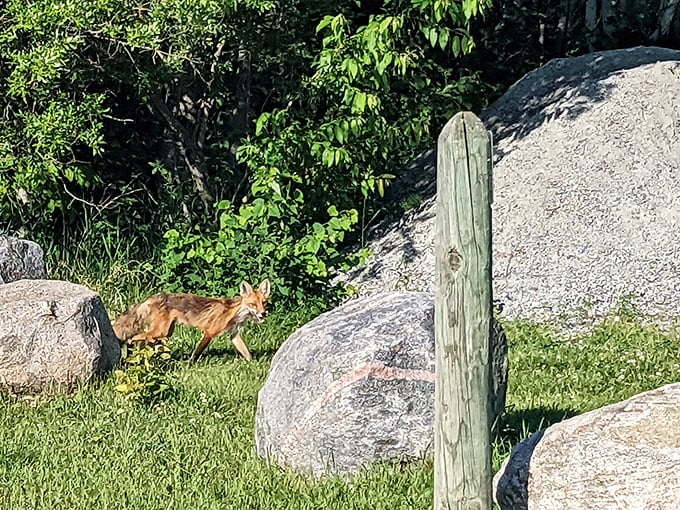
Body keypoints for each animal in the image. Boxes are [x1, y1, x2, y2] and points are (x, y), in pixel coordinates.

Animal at [112, 279, 271, 363]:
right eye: (253, 304)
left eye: (264, 303)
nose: (263, 313)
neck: (234, 313)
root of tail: (151, 298)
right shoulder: (210, 332)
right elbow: (197, 352)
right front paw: (190, 364)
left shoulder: (234, 334)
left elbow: (247, 353)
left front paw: (253, 364)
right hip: (160, 331)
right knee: (133, 338)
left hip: (166, 333)